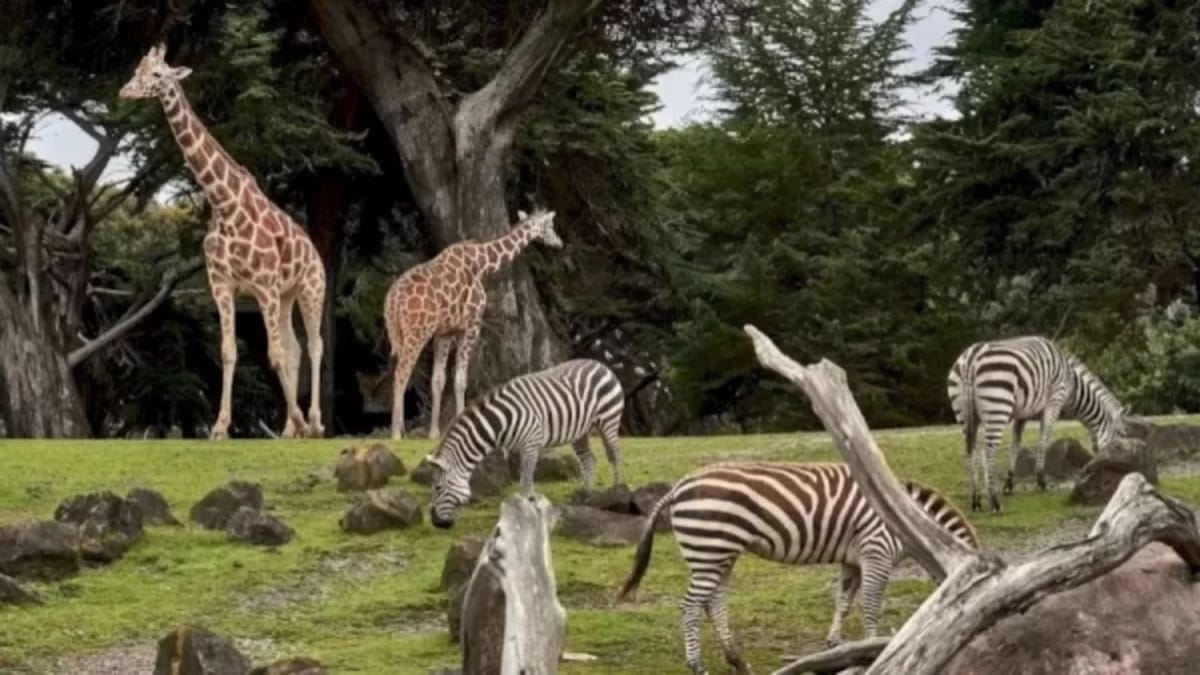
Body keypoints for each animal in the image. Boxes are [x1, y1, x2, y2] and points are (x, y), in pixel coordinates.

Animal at [119, 44, 325, 440]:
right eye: (137, 69)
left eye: (157, 75)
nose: (125, 92)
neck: (223, 203)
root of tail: (315, 251)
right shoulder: (223, 284)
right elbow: (230, 351)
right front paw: (219, 426)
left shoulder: (263, 285)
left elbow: (274, 353)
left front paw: (297, 419)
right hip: (287, 295)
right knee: (295, 347)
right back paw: (290, 429)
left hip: (310, 288)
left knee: (314, 345)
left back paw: (314, 422)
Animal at [384, 209, 562, 440]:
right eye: (550, 225)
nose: (559, 242)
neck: (482, 264)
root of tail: (392, 300)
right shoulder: (471, 326)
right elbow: (460, 380)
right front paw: (459, 423)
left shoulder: (445, 332)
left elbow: (438, 380)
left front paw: (434, 432)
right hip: (417, 332)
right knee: (401, 374)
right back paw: (396, 433)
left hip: (398, 333)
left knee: (397, 372)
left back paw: (400, 429)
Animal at [424, 358, 624, 529]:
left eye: (438, 488)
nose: (435, 523)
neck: (501, 422)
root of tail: (600, 364)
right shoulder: (514, 448)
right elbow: (522, 478)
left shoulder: (531, 444)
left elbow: (526, 481)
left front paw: (525, 511)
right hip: (580, 432)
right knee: (589, 460)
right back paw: (585, 495)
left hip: (609, 419)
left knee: (614, 454)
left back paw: (616, 493)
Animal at [615, 461, 978, 675]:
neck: (908, 523)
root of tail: (679, 486)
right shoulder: (876, 553)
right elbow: (871, 606)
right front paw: (876, 647)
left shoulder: (852, 560)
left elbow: (844, 601)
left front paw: (836, 645)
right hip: (710, 547)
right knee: (690, 606)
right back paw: (697, 665)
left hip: (719, 553)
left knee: (713, 603)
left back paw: (738, 662)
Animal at [947, 335, 1129, 513]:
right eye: (1120, 438)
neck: (1071, 383)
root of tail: (970, 359)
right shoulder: (1053, 402)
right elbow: (1043, 441)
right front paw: (1041, 481)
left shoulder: (1022, 414)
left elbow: (1015, 445)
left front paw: (1009, 484)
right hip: (997, 406)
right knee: (988, 451)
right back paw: (995, 502)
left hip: (966, 414)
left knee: (971, 451)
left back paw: (976, 500)